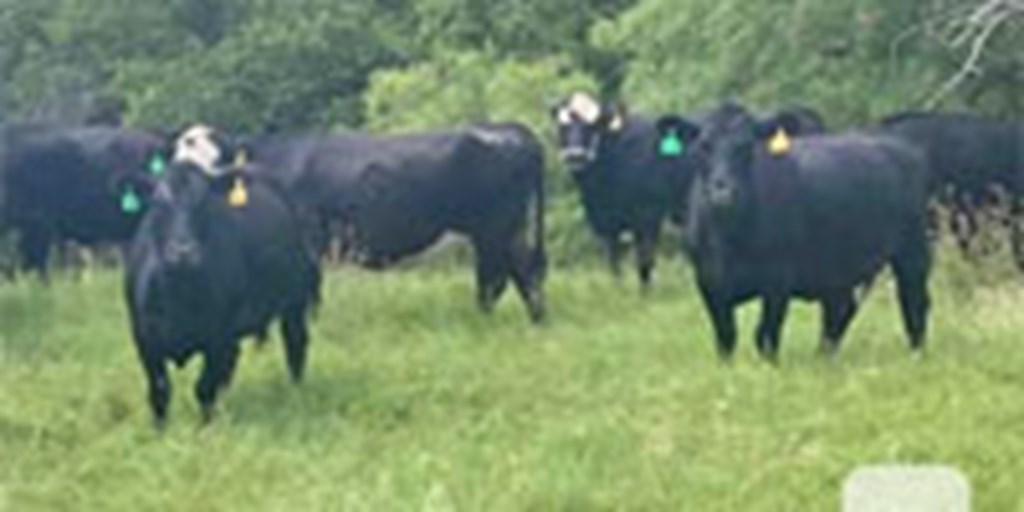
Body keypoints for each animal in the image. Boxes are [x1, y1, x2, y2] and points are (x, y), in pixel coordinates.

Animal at [124, 159, 320, 425]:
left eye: (205, 202)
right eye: (157, 203)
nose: (184, 252)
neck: (179, 295)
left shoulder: (218, 336)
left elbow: (204, 388)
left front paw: (206, 427)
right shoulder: (144, 337)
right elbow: (159, 390)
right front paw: (159, 429)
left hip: (294, 301)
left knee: (295, 343)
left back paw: (295, 393)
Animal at [173, 123, 547, 323]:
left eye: (217, 160)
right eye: (179, 157)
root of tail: (508, 129)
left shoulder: (309, 243)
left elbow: (310, 290)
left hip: (495, 228)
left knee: (507, 275)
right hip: (504, 229)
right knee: (516, 274)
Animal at [656, 103, 931, 360]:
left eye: (746, 146)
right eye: (704, 146)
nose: (723, 190)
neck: (730, 240)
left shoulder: (778, 280)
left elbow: (765, 334)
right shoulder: (708, 281)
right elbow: (726, 336)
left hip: (913, 250)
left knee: (914, 300)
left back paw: (916, 354)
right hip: (837, 266)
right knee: (840, 308)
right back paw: (823, 356)